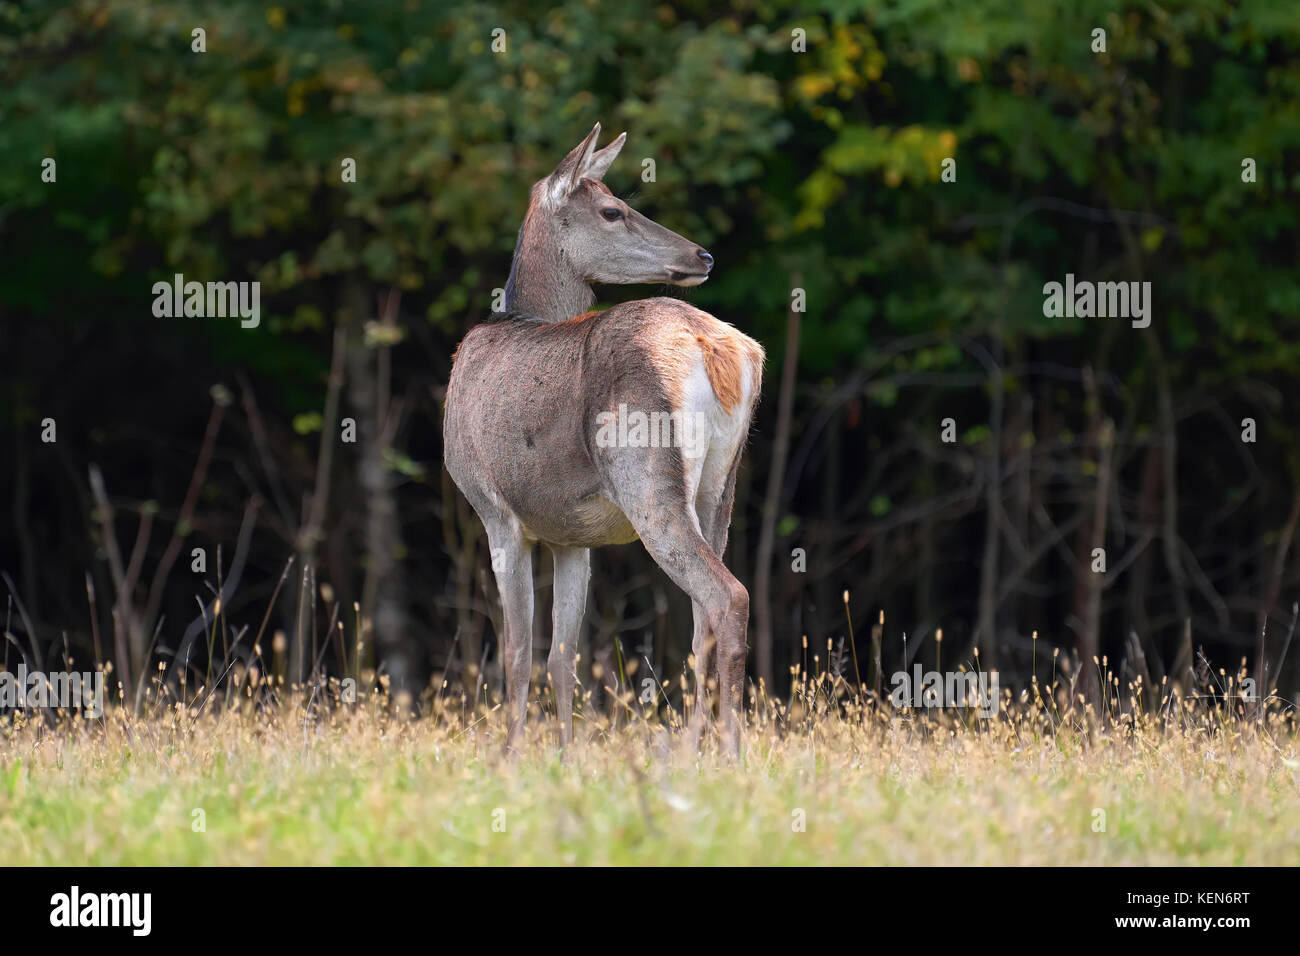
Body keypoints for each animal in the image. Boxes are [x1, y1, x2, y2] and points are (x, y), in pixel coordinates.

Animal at [443, 124, 764, 755]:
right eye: (613, 210)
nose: (703, 254)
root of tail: (717, 347)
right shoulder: (573, 536)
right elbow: (563, 658)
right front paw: (566, 756)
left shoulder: (495, 508)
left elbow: (517, 652)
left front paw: (510, 757)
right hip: (721, 485)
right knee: (702, 618)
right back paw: (697, 749)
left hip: (645, 472)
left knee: (726, 596)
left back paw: (728, 754)